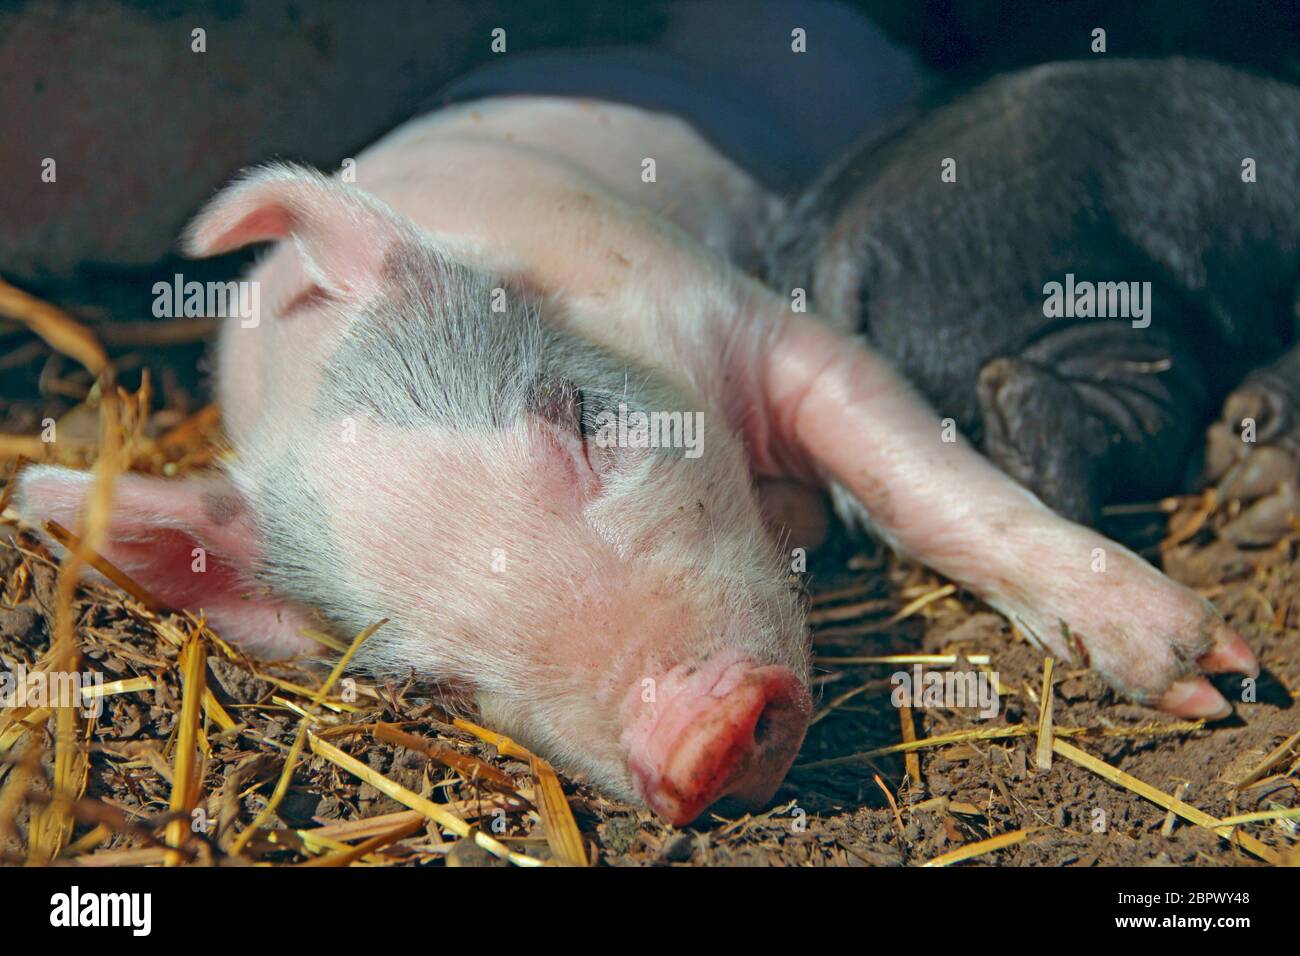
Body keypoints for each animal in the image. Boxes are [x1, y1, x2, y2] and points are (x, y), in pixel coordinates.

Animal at [14, 88, 1257, 825]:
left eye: (580, 419)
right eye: (426, 679)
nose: (695, 734)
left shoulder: (753, 319)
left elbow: (920, 478)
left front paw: (1210, 671)